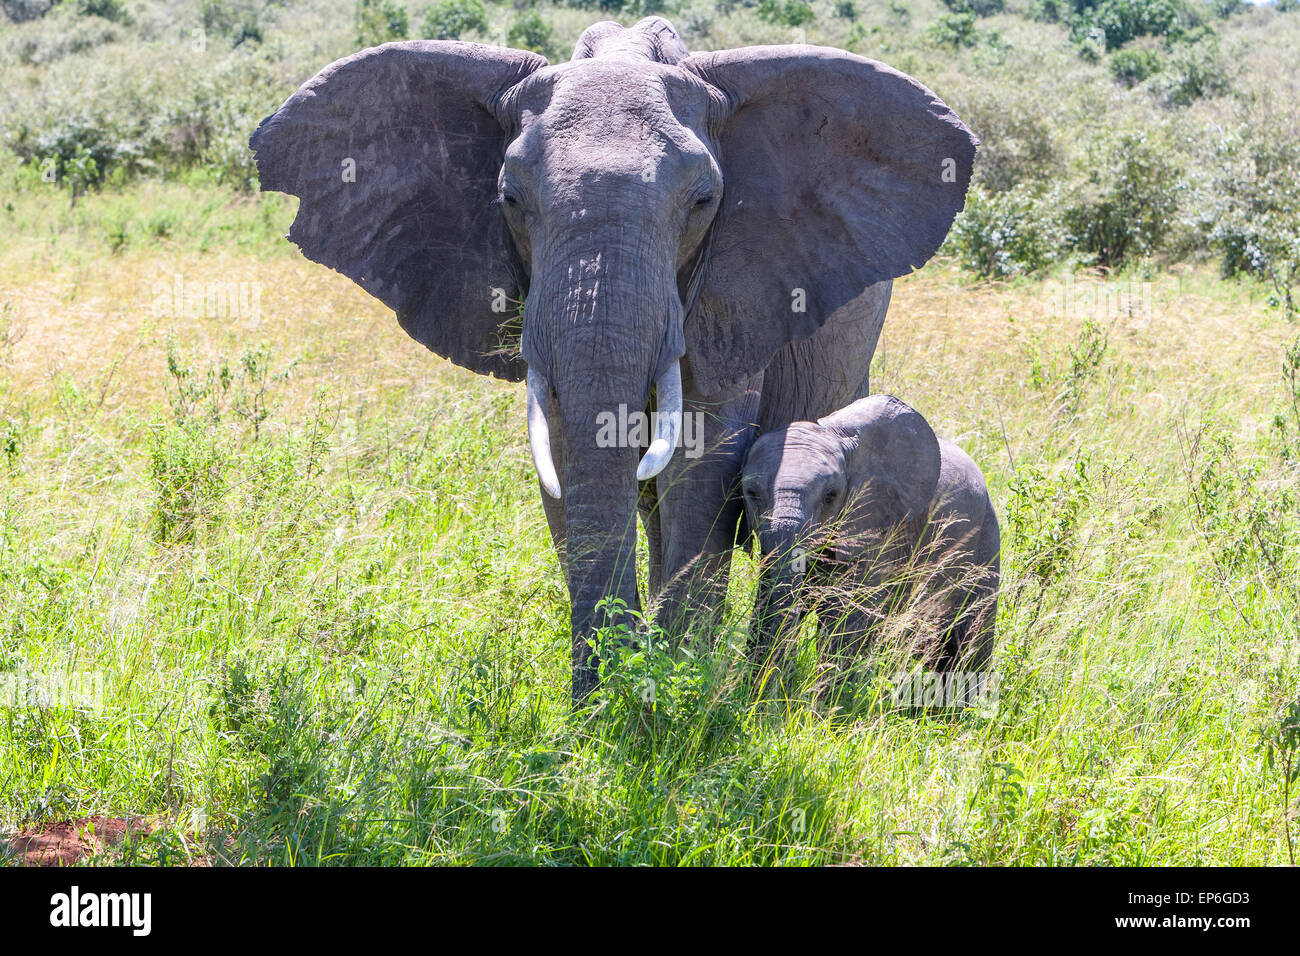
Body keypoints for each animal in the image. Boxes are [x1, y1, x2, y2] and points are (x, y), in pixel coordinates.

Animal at [741, 394, 999, 675]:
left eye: (830, 496)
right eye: (751, 494)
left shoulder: (878, 531)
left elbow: (847, 619)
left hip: (985, 541)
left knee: (970, 643)